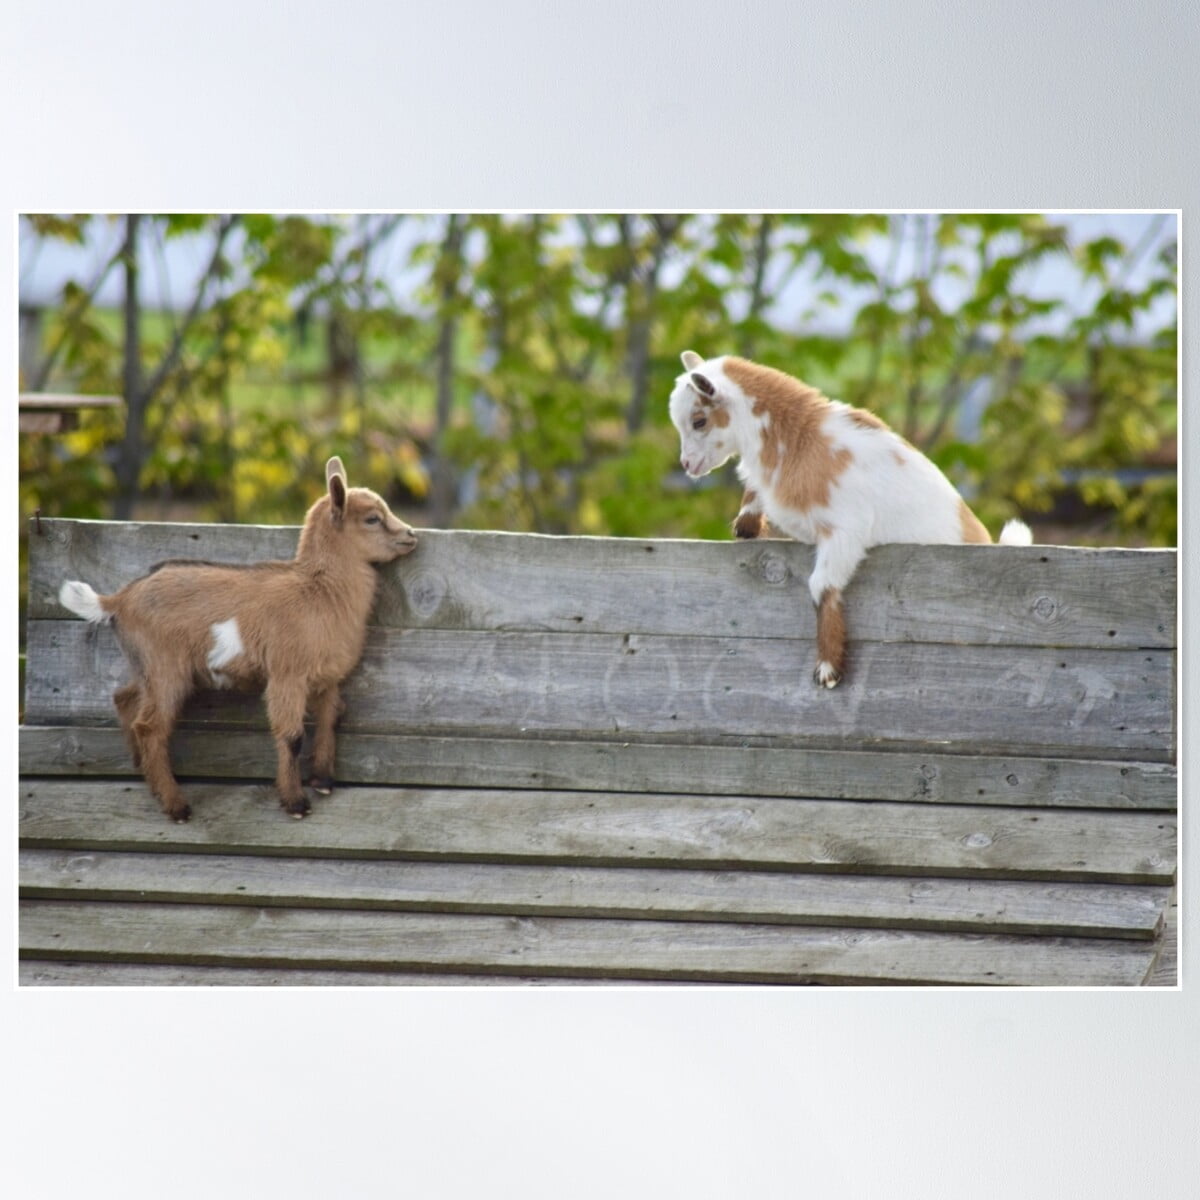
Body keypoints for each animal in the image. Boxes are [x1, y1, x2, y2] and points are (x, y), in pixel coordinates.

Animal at [58, 457, 418, 821]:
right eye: (372, 519)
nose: (411, 535)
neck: (319, 592)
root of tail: (118, 599)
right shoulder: (287, 675)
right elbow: (292, 736)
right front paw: (295, 803)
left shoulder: (327, 678)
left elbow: (330, 721)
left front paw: (323, 781)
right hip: (164, 668)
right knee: (150, 726)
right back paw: (176, 806)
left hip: (145, 664)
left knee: (125, 700)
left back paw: (142, 771)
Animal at [668, 351, 1032, 689]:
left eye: (699, 421)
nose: (686, 464)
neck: (801, 440)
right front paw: (746, 523)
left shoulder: (845, 533)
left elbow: (821, 586)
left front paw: (828, 668)